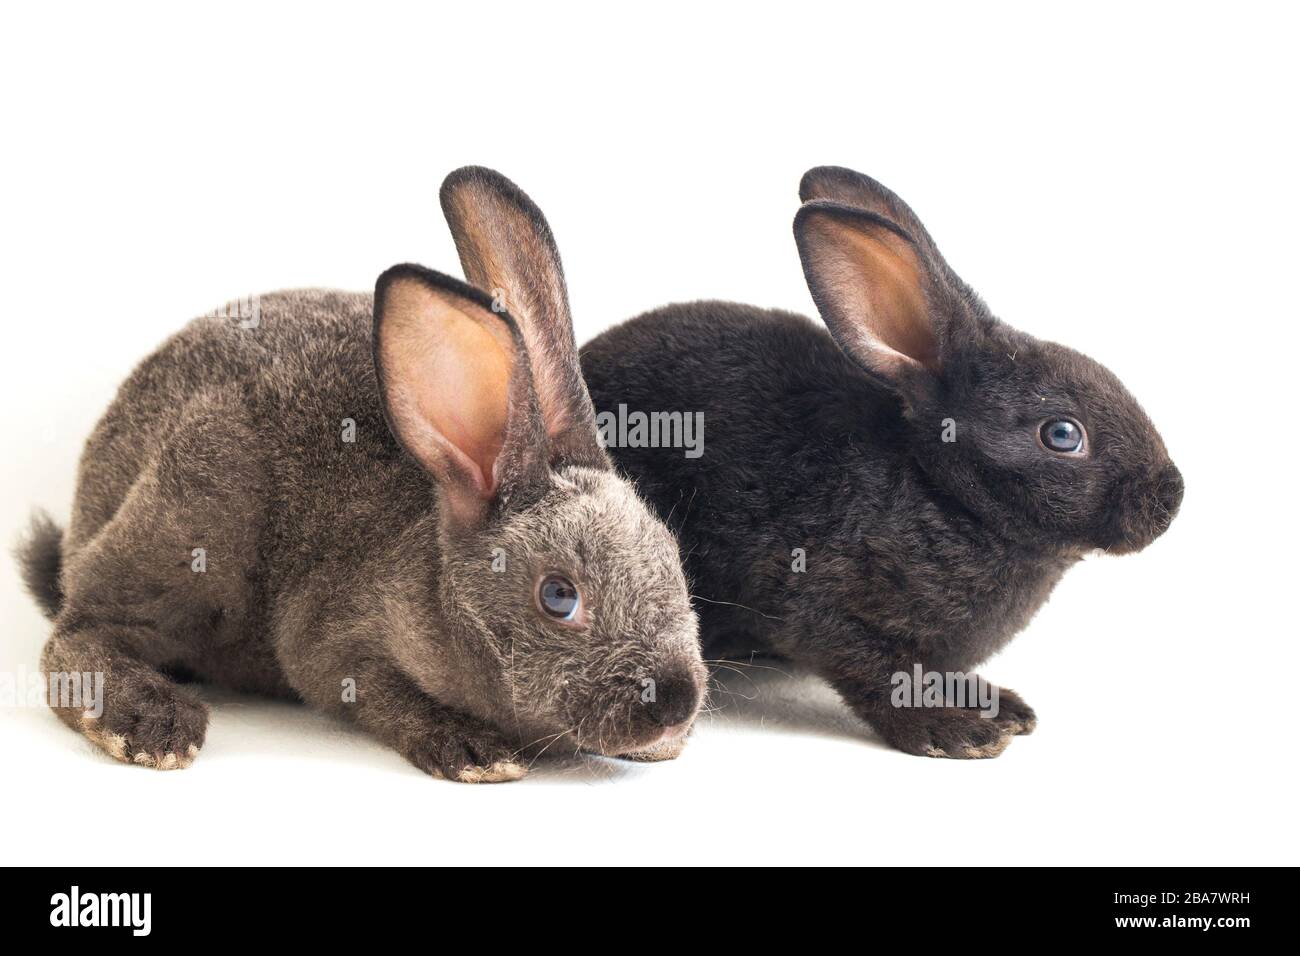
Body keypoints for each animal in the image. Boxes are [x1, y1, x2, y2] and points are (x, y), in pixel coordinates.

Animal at [16, 166, 705, 781]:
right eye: (559, 596)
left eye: (672, 559)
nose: (676, 704)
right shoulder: (335, 646)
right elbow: (381, 694)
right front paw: (473, 750)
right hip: (200, 504)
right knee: (76, 637)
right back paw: (153, 725)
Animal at [580, 166, 1183, 759]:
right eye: (1062, 435)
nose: (1171, 496)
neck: (942, 492)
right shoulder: (826, 609)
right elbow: (882, 676)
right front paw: (958, 731)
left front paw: (1001, 706)